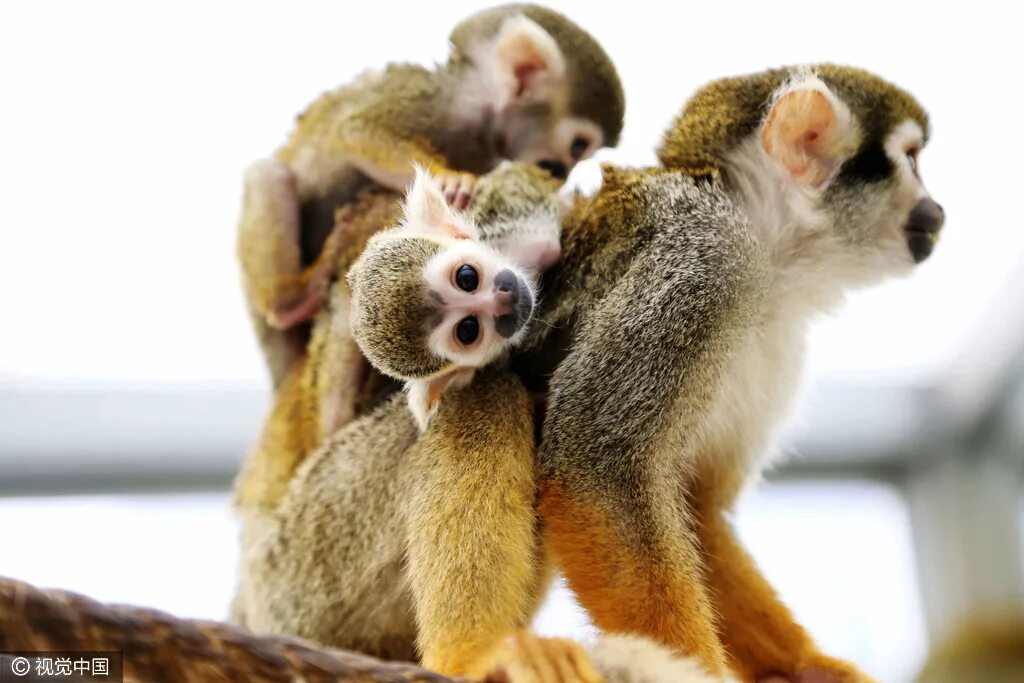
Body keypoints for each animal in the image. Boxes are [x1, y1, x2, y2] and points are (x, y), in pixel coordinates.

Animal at [236, 2, 624, 392]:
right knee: (269, 176)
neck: (481, 117)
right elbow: (357, 131)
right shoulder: (437, 102)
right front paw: (449, 178)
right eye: (578, 146)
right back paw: (290, 300)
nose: (563, 174)